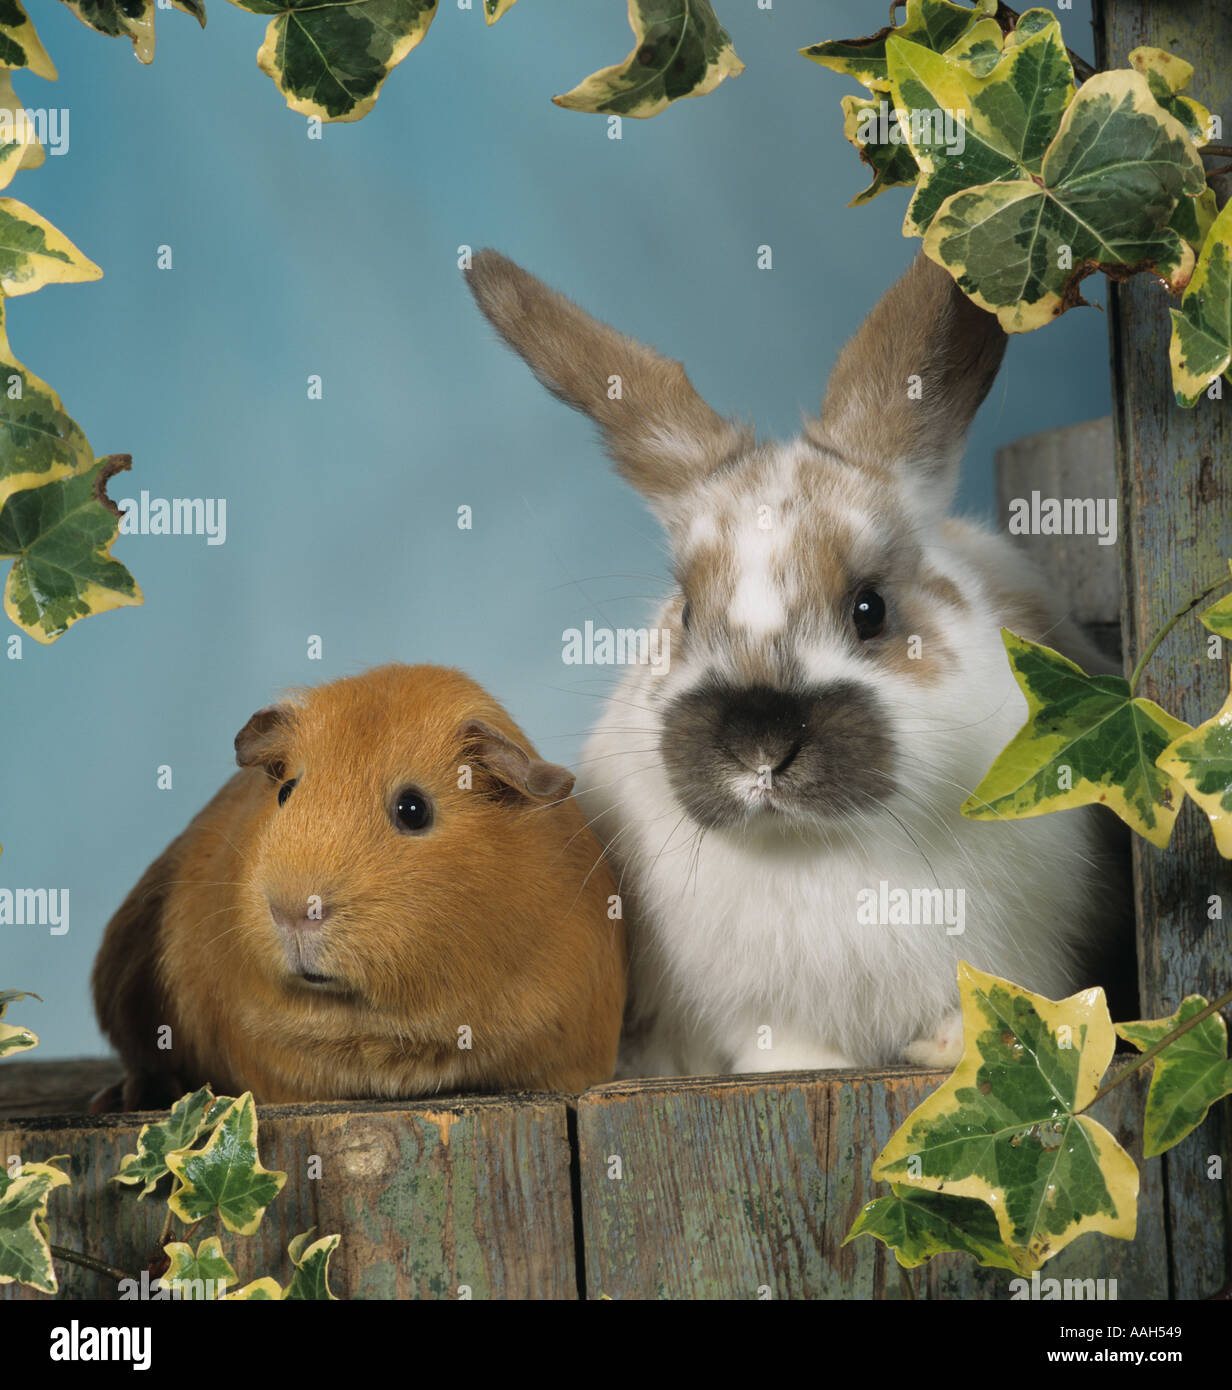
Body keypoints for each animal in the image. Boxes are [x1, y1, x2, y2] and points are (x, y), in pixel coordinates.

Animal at [465, 248, 1130, 1077]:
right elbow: (787, 1045)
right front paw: (803, 1066)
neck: (814, 849)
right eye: (686, 613)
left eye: (871, 609)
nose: (760, 745)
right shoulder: (751, 1009)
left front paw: (947, 1046)